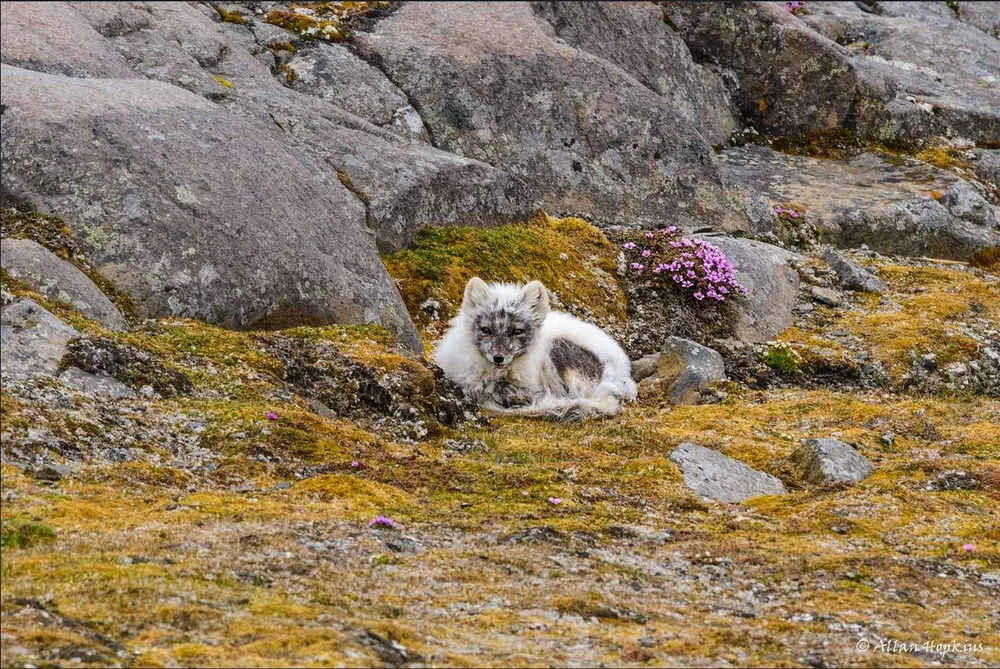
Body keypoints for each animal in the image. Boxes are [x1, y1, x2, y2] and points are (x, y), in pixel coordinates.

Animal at [434, 277, 638, 421]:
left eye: (517, 331)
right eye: (486, 330)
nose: (498, 358)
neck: (496, 375)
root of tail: (620, 371)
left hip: (555, 351)